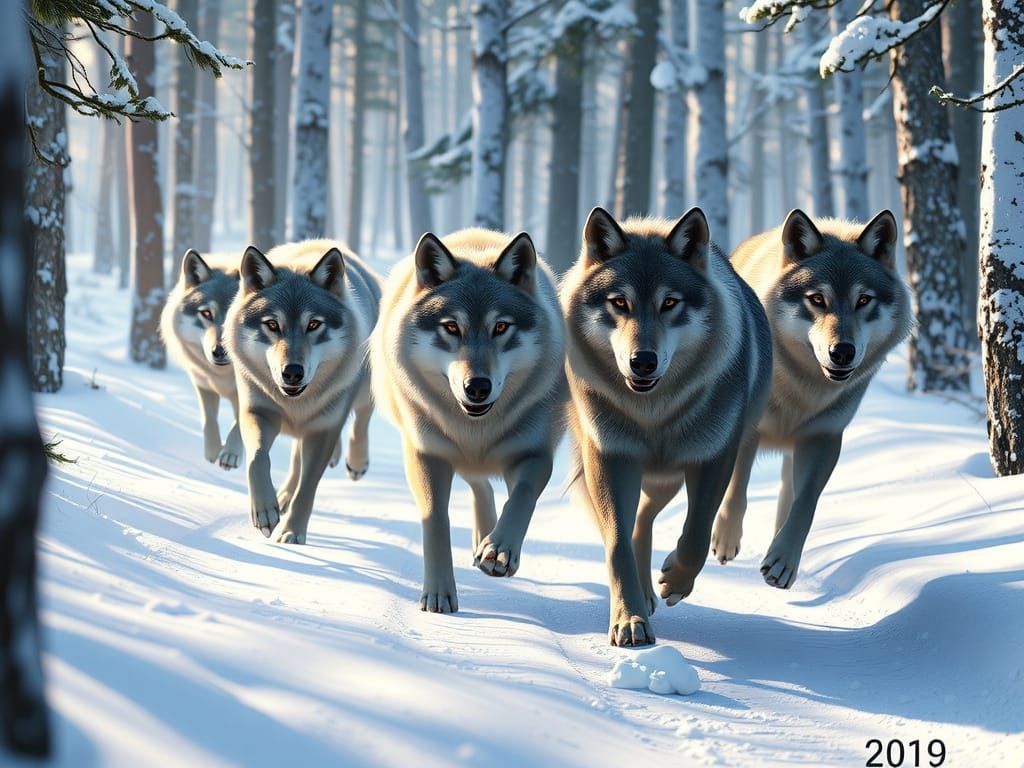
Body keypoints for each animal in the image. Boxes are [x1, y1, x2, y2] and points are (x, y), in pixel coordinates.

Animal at [160, 249, 244, 470]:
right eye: (206, 313)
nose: (220, 351)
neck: (224, 376)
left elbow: (239, 425)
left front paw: (231, 454)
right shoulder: (203, 384)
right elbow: (208, 420)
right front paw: (214, 451)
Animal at [224, 239, 381, 543]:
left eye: (313, 324)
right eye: (273, 324)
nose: (292, 372)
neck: (295, 404)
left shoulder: (323, 430)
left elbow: (307, 488)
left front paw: (292, 533)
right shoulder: (258, 413)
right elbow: (257, 459)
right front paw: (265, 511)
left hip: (360, 394)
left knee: (362, 420)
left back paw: (356, 462)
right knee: (296, 458)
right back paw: (282, 497)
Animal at [371, 229, 565, 613]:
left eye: (501, 327)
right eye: (451, 327)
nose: (477, 387)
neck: (477, 429)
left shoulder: (535, 454)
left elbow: (521, 497)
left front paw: (500, 549)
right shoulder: (426, 455)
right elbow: (436, 520)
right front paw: (439, 593)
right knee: (478, 483)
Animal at [562, 207, 772, 646]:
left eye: (670, 303)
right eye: (619, 302)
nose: (643, 361)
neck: (653, 411)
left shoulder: (713, 459)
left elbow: (696, 534)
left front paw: (675, 580)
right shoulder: (609, 457)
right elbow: (617, 545)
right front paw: (629, 621)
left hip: (668, 477)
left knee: (646, 516)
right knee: (635, 523)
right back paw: (642, 594)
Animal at [711, 209, 912, 589]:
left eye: (863, 300)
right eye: (817, 299)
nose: (842, 352)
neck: (801, 386)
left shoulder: (823, 438)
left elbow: (805, 504)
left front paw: (783, 561)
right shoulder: (746, 430)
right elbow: (736, 488)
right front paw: (726, 539)